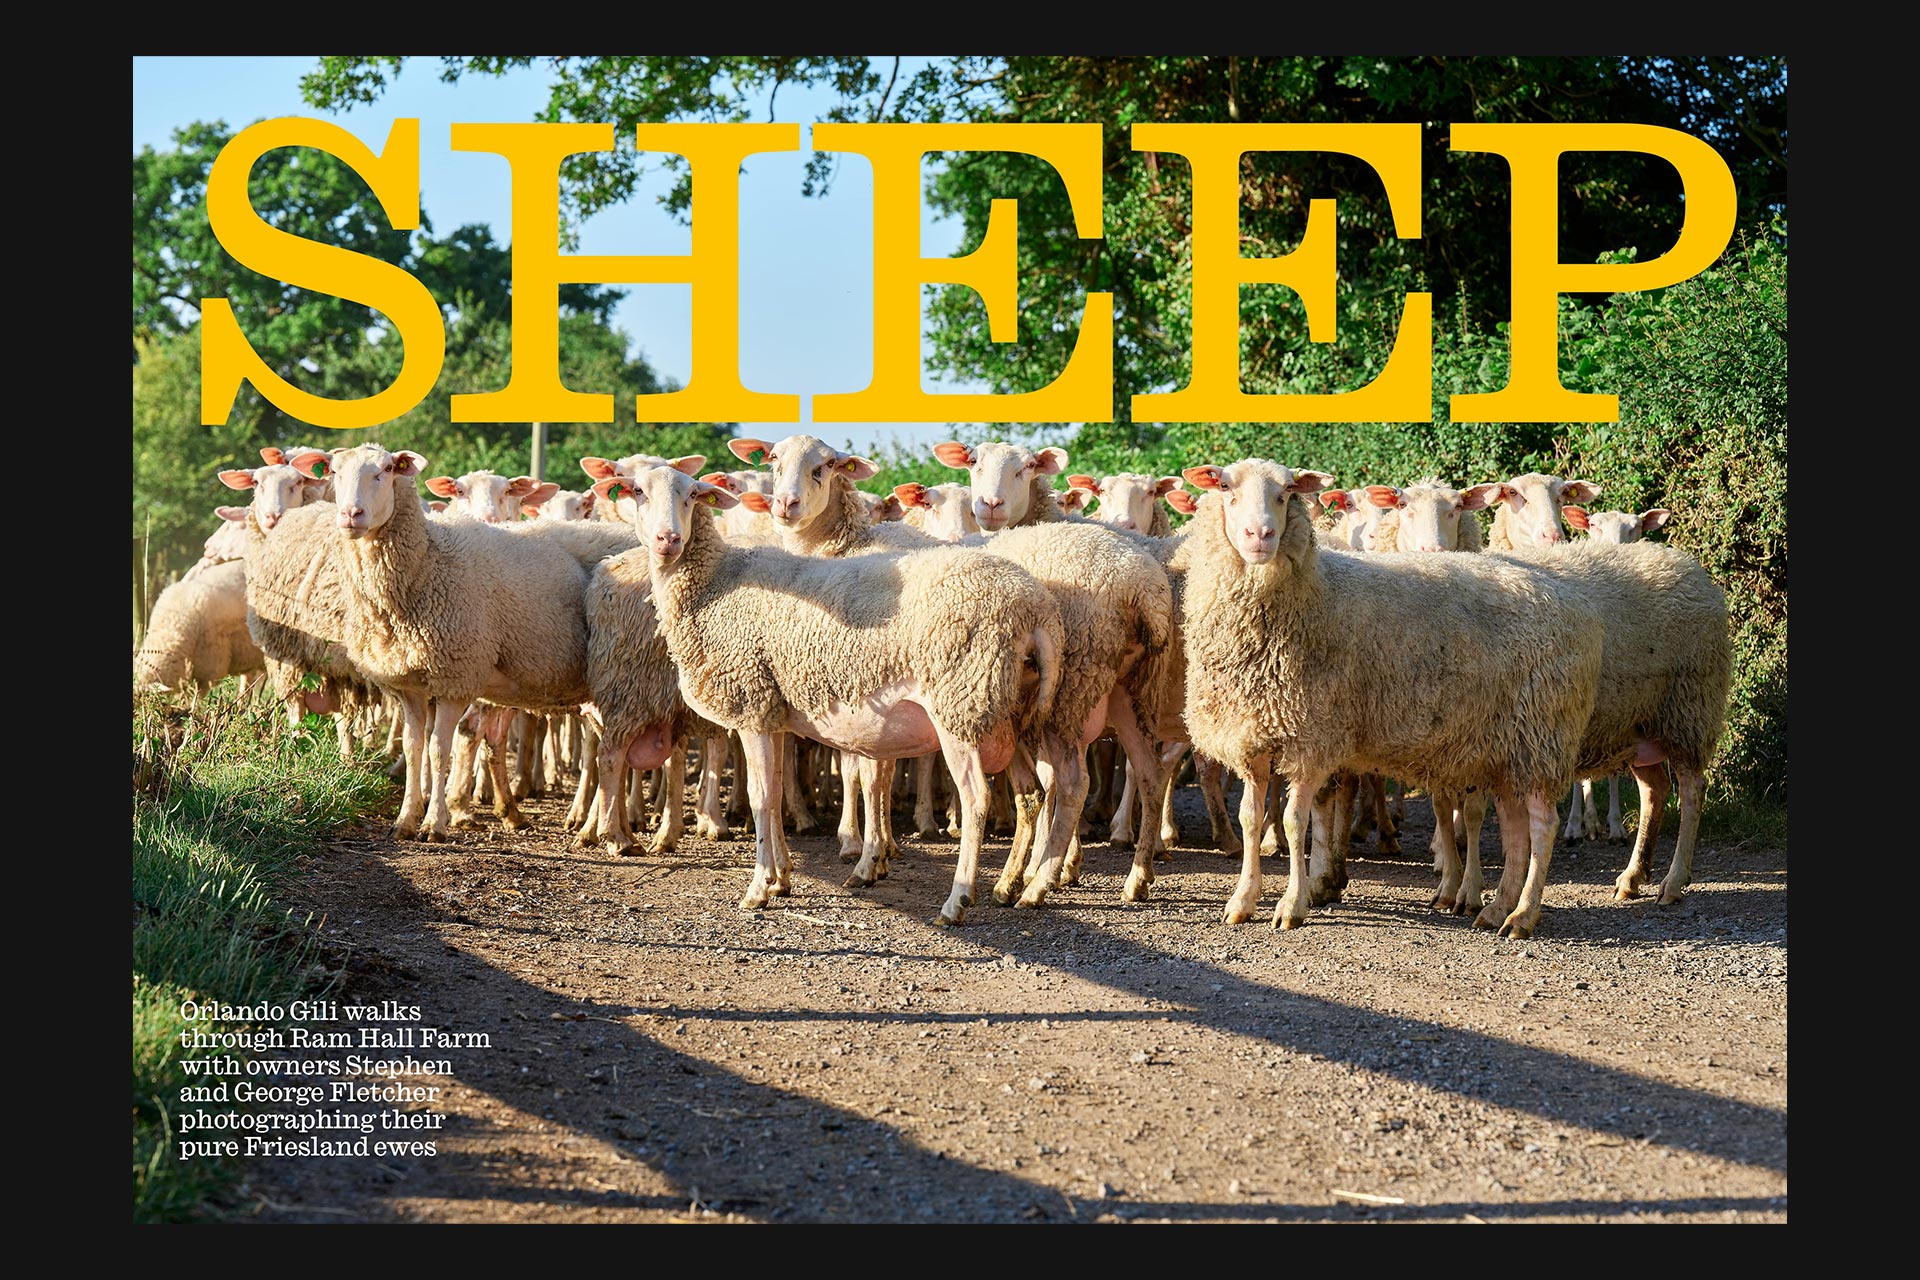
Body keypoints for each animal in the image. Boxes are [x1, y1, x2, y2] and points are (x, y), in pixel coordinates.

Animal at [288, 446, 603, 841]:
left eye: (387, 469)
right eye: (333, 471)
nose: (350, 515)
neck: (429, 558)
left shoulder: (456, 677)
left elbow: (440, 750)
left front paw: (434, 823)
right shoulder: (409, 685)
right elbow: (414, 748)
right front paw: (406, 820)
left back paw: (603, 826)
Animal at [625, 464, 1064, 924]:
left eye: (693, 495)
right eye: (637, 491)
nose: (669, 540)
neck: (714, 586)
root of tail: (1036, 609)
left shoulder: (752, 707)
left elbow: (761, 799)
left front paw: (758, 888)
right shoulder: (773, 714)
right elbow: (776, 794)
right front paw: (781, 879)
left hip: (959, 703)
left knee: (978, 798)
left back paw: (958, 899)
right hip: (1007, 708)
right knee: (1032, 795)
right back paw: (1009, 886)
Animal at [1180, 459, 1606, 938]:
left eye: (1288, 491)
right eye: (1225, 487)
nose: (1260, 535)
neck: (1312, 596)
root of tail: (1576, 603)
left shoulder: (1313, 738)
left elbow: (1293, 823)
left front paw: (1293, 904)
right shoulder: (1253, 736)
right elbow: (1251, 821)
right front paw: (1241, 900)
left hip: (1542, 733)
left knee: (1544, 826)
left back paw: (1523, 915)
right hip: (1508, 748)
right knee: (1517, 830)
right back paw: (1496, 910)